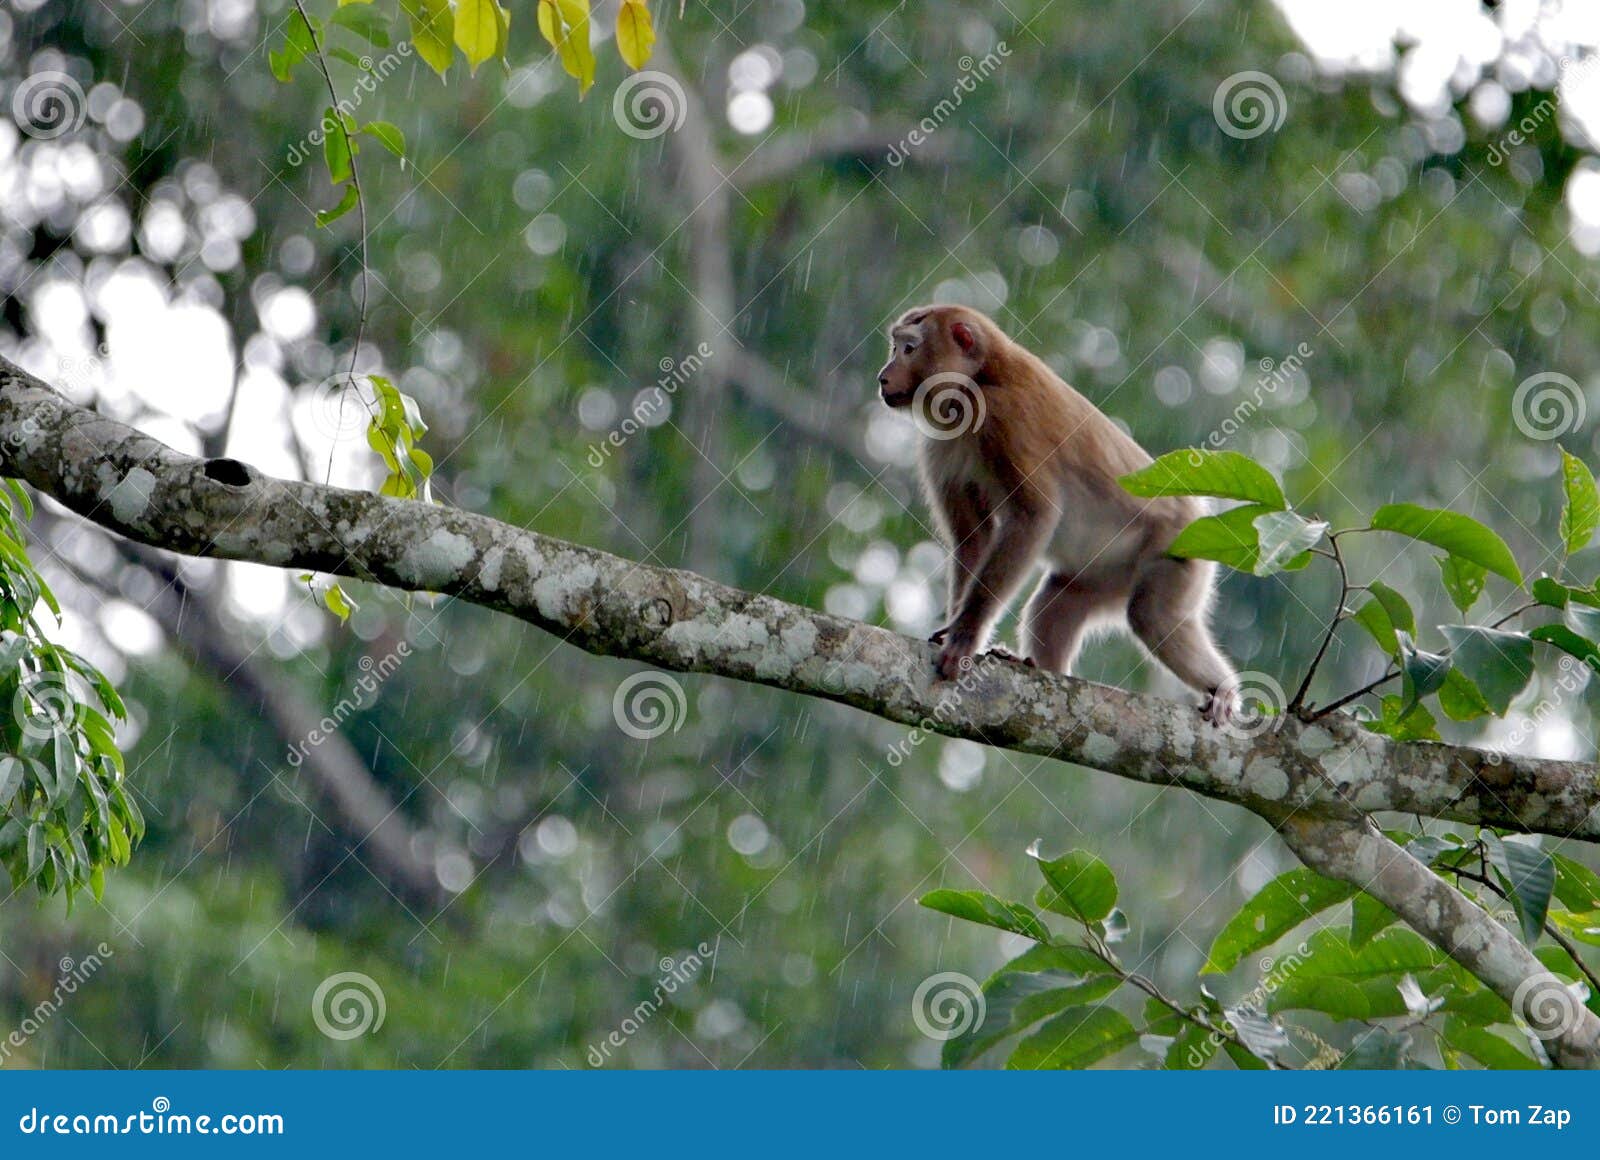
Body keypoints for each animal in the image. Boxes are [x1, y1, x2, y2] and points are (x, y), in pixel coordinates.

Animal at [876, 304, 1239, 724]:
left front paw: (966, 636)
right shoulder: (941, 442)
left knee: (1152, 616)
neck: (981, 379)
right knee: (1055, 606)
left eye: (909, 348)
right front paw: (958, 629)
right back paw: (1040, 667)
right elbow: (973, 537)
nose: (883, 376)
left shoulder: (1005, 419)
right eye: (896, 347)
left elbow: (1034, 516)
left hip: (1180, 550)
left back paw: (1223, 689)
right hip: (1105, 576)